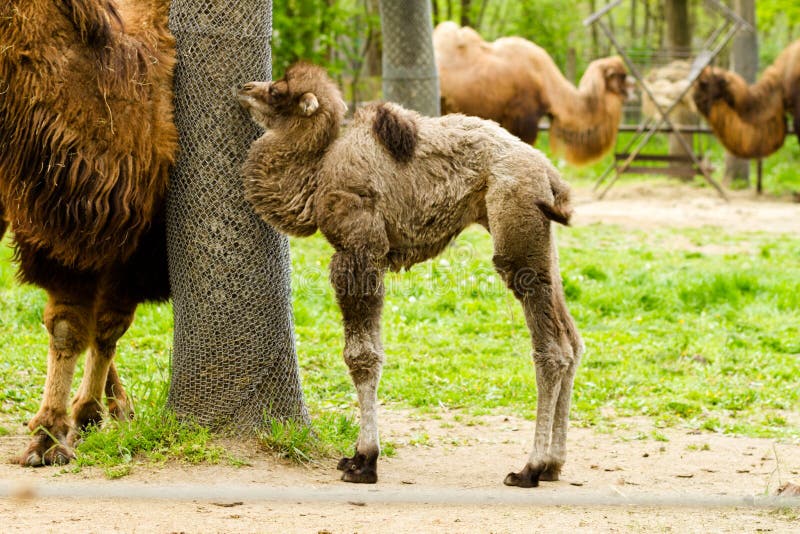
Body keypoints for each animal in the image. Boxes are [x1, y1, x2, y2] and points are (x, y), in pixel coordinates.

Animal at [0, 0, 177, 466]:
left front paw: (67, 424)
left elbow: (102, 328)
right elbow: (71, 326)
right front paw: (54, 430)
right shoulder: (61, 238)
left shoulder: (128, 247)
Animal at [238, 63, 583, 487]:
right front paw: (359, 455)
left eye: (277, 93)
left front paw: (364, 460)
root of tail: (550, 173)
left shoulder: (359, 251)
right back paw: (553, 464)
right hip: (541, 239)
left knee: (552, 349)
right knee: (572, 340)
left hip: (516, 227)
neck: (318, 171)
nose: (245, 88)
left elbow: (362, 356)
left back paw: (528, 469)